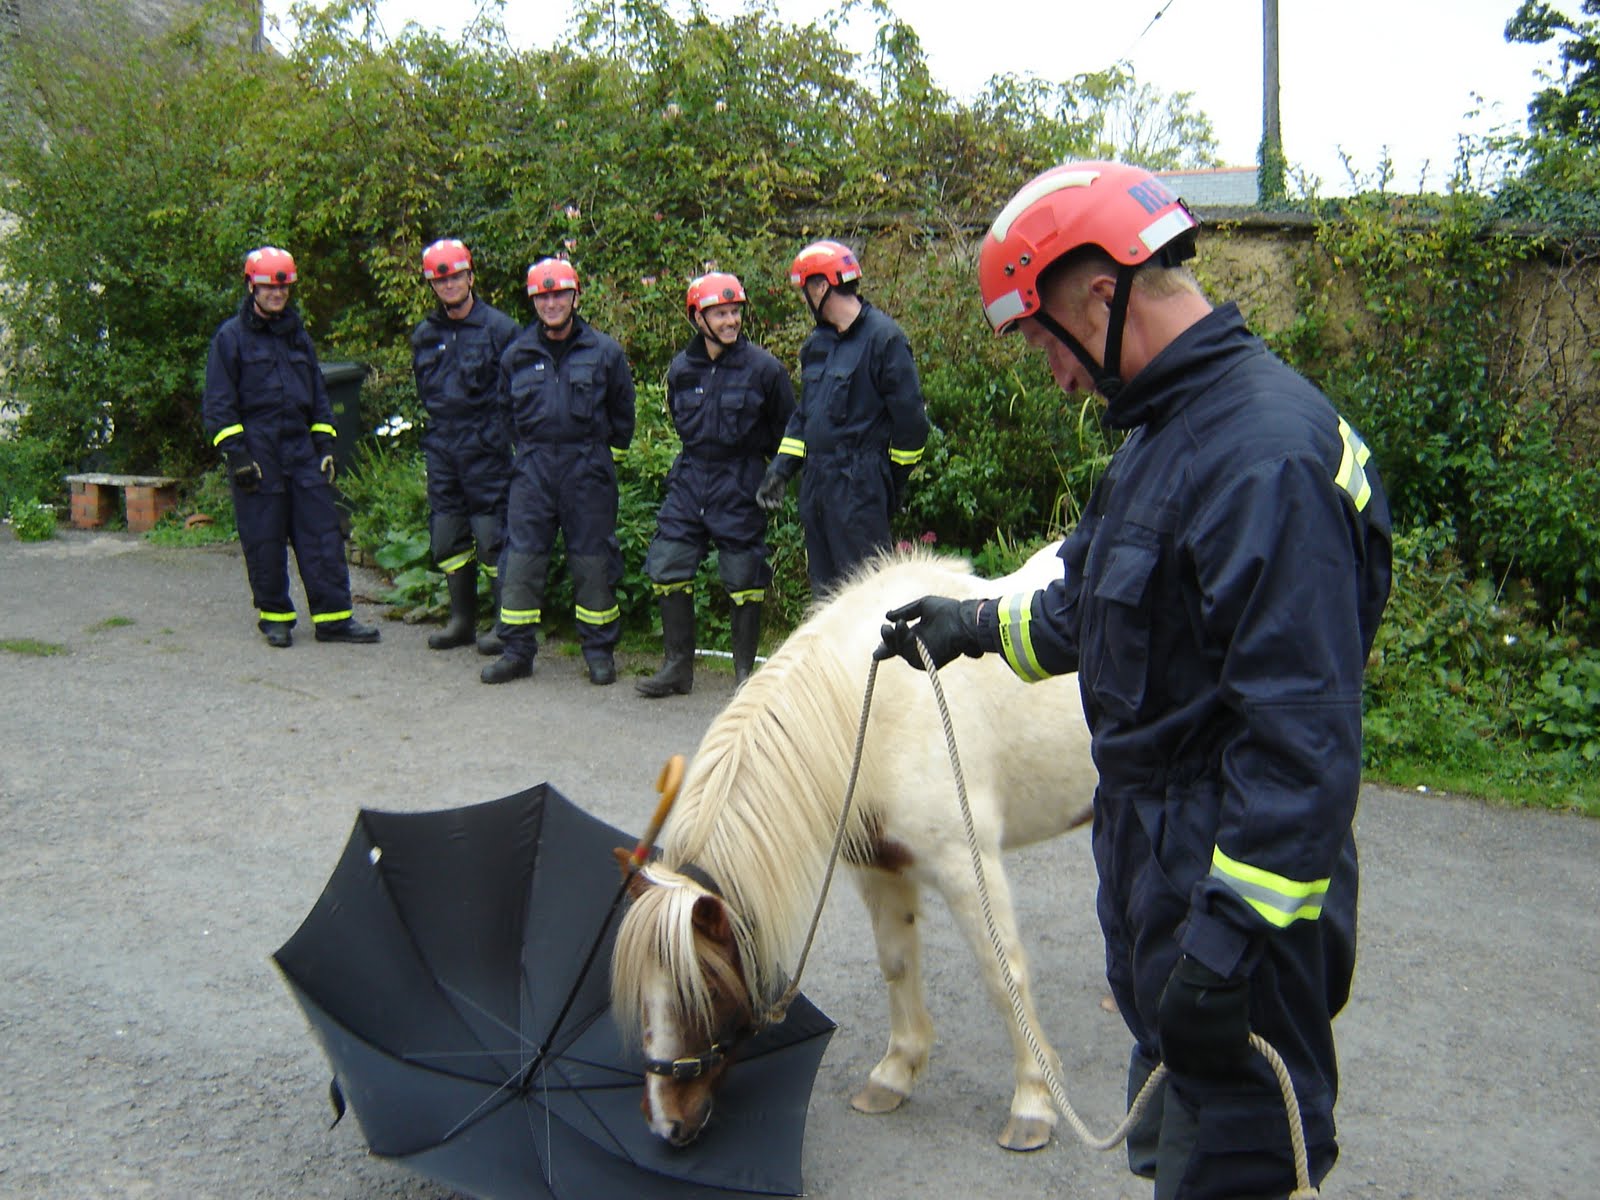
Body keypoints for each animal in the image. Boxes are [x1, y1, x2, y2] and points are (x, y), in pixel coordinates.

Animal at [609, 542, 1096, 1153]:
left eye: (705, 992)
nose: (666, 1123)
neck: (876, 710)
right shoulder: (880, 868)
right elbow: (896, 963)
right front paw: (895, 1074)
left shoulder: (969, 867)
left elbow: (1002, 975)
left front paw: (1034, 1101)